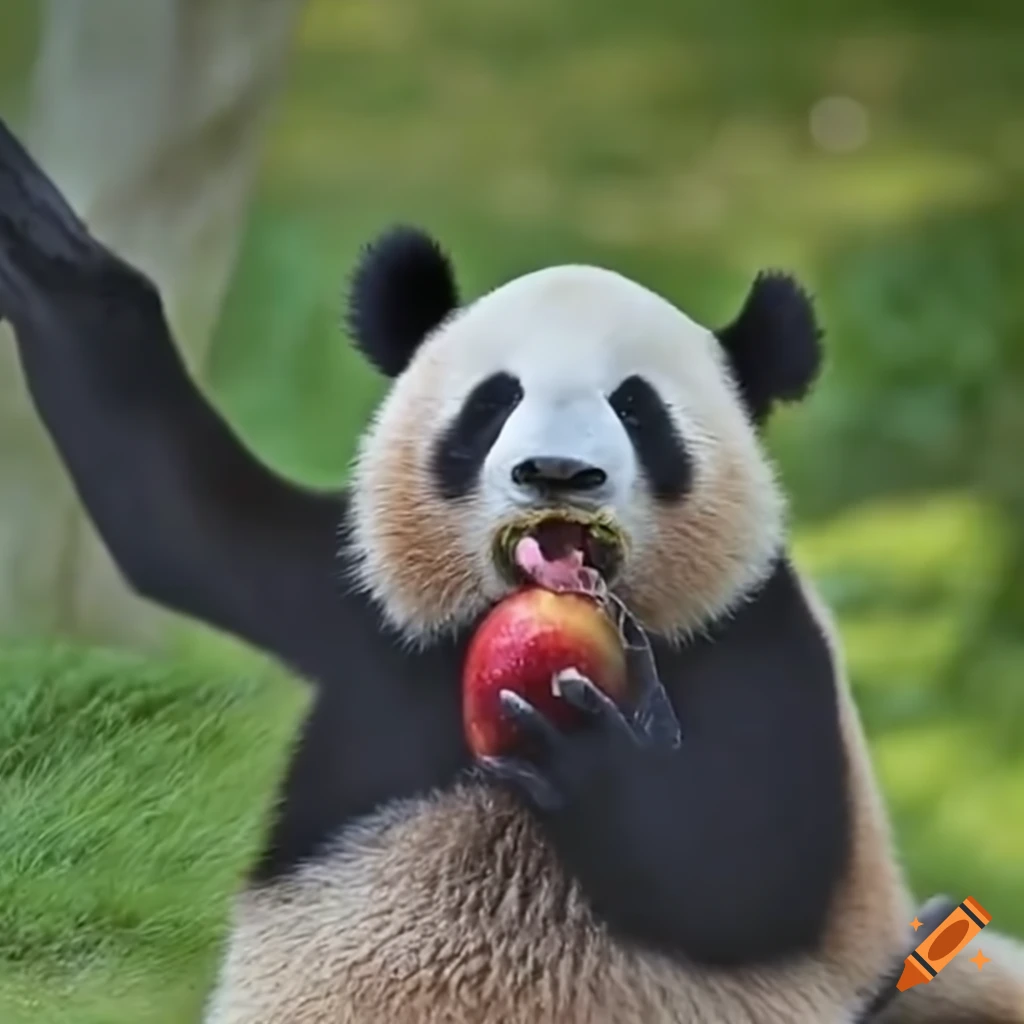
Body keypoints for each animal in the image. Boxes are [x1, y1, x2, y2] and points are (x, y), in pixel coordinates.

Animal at [1, 118, 1022, 1024]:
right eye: (494, 403)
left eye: (636, 410)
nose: (558, 472)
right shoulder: (368, 611)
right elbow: (190, 529)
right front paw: (48, 251)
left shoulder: (757, 643)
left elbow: (745, 882)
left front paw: (595, 749)